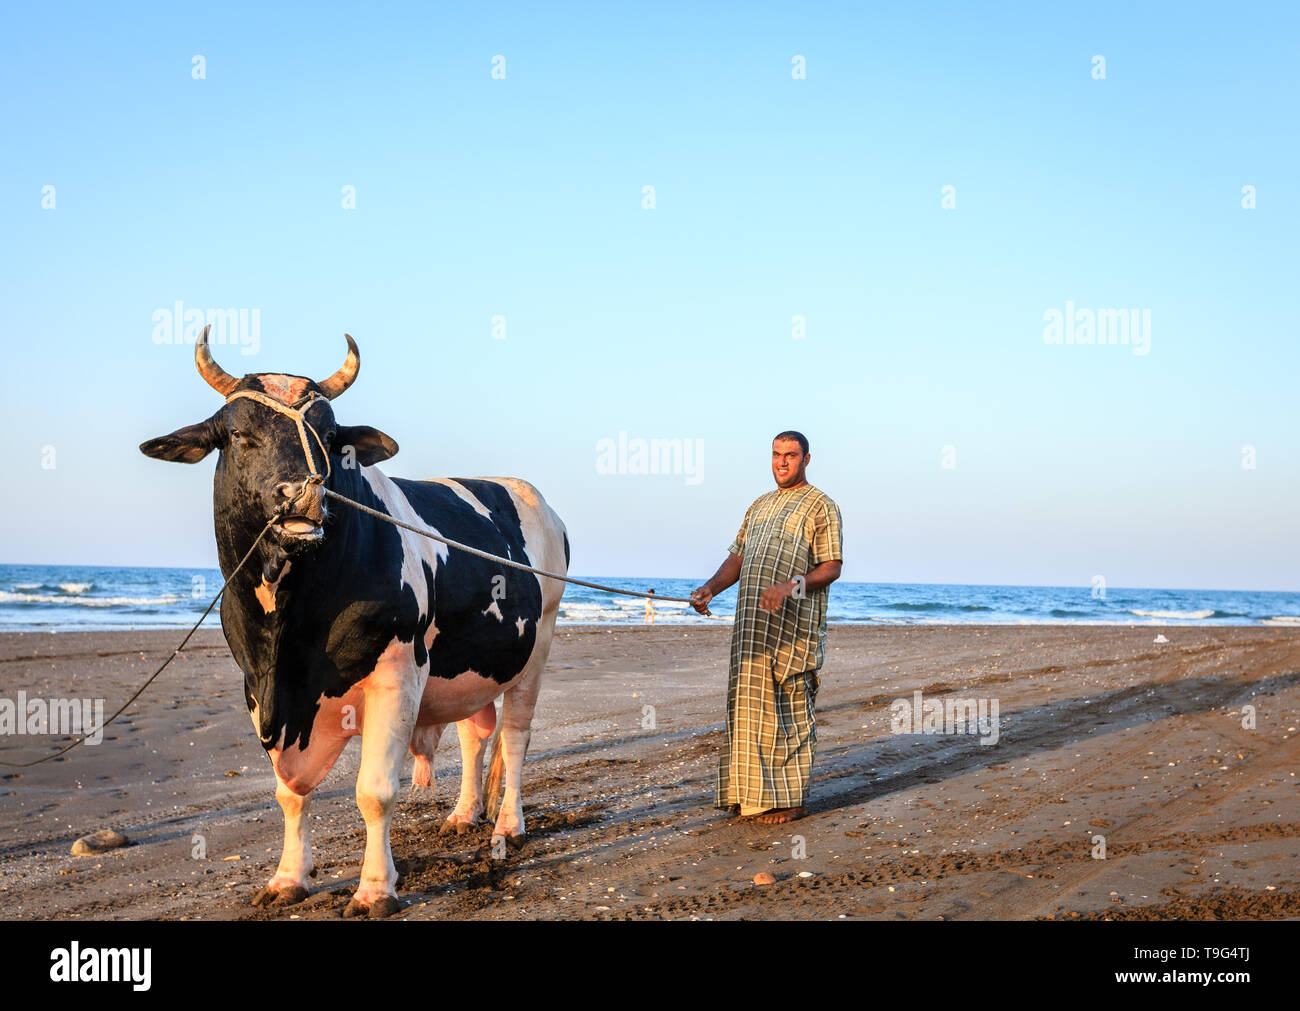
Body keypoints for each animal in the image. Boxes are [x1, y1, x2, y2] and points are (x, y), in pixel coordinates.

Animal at [140, 329, 569, 918]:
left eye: (330, 436)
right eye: (237, 433)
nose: (303, 493)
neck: (287, 640)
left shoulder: (397, 674)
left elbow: (374, 792)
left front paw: (374, 889)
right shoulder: (256, 688)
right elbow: (289, 794)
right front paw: (288, 878)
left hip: (536, 650)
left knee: (516, 739)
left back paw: (508, 825)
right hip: (467, 667)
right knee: (476, 735)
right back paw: (464, 815)